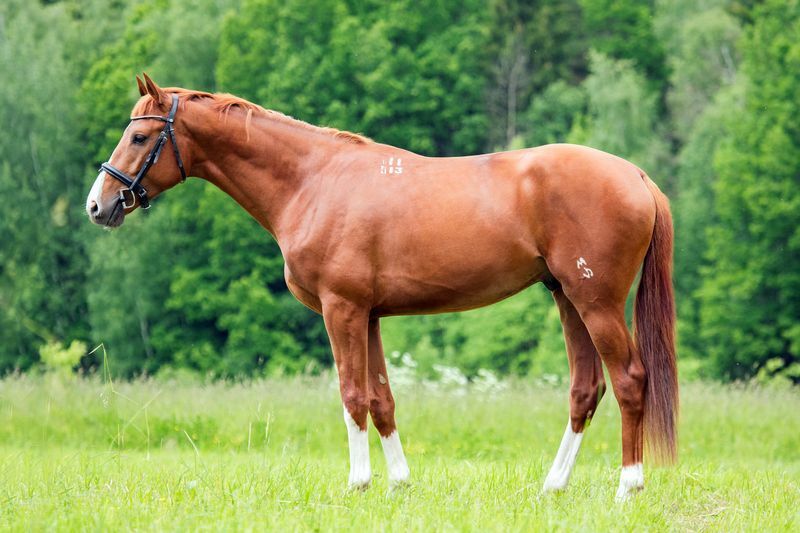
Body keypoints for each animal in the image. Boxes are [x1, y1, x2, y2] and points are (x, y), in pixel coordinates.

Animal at [86, 75, 676, 498]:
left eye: (140, 136)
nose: (98, 204)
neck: (313, 181)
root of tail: (636, 176)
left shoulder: (341, 310)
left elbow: (352, 395)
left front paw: (359, 483)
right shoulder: (368, 316)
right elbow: (381, 398)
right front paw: (398, 483)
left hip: (596, 303)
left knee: (629, 380)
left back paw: (628, 486)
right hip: (567, 299)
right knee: (585, 388)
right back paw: (553, 486)